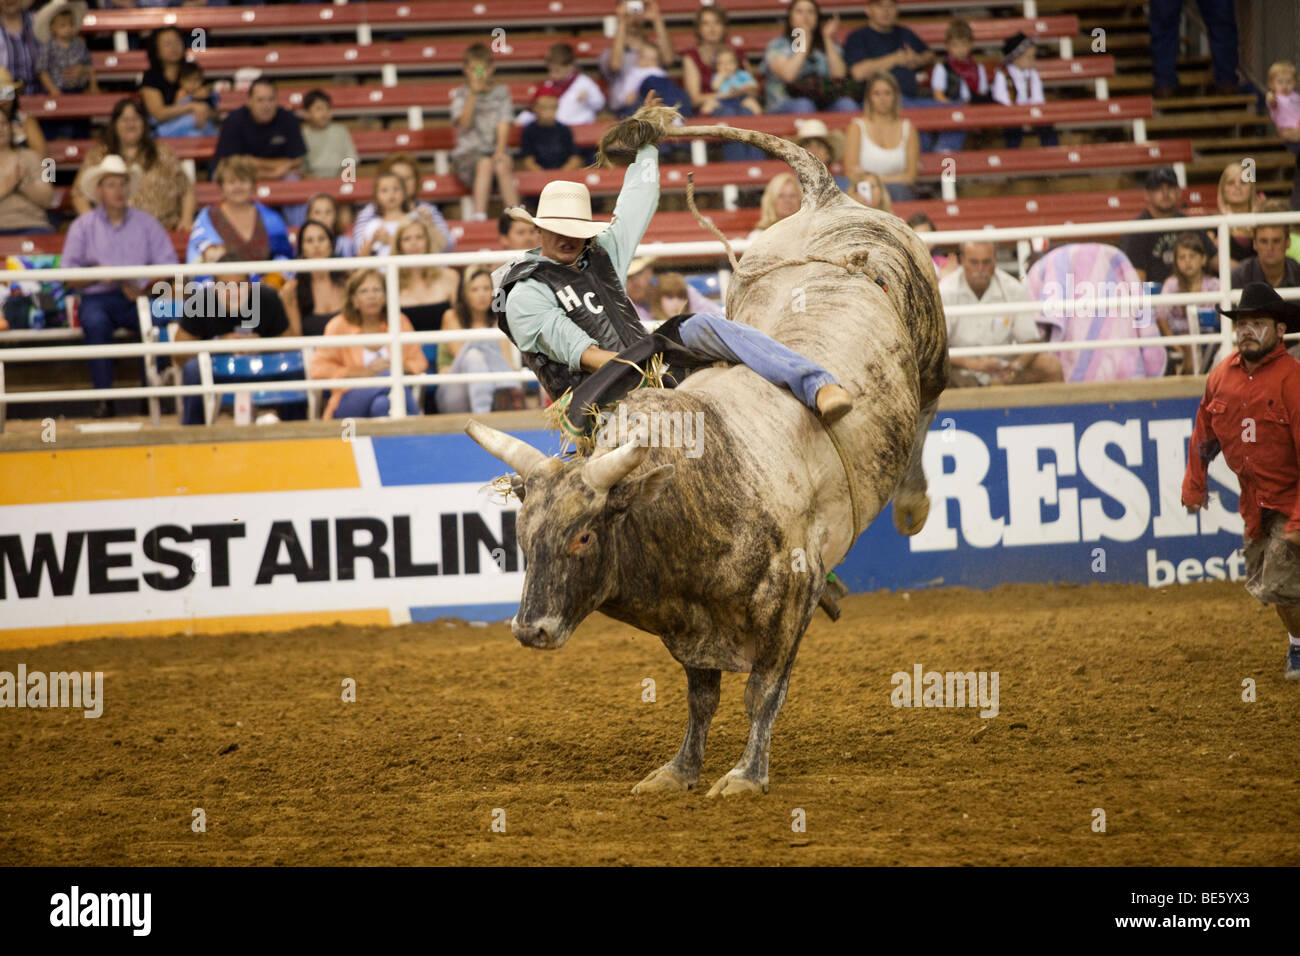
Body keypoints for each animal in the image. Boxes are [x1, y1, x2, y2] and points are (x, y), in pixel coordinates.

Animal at [466, 106, 948, 796]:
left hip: (931, 345)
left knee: (929, 403)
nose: (530, 630)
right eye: (522, 535)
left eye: (584, 536)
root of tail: (825, 197)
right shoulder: (690, 626)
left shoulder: (792, 595)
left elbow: (762, 693)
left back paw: (898, 485)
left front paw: (746, 775)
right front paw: (679, 771)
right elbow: (702, 696)